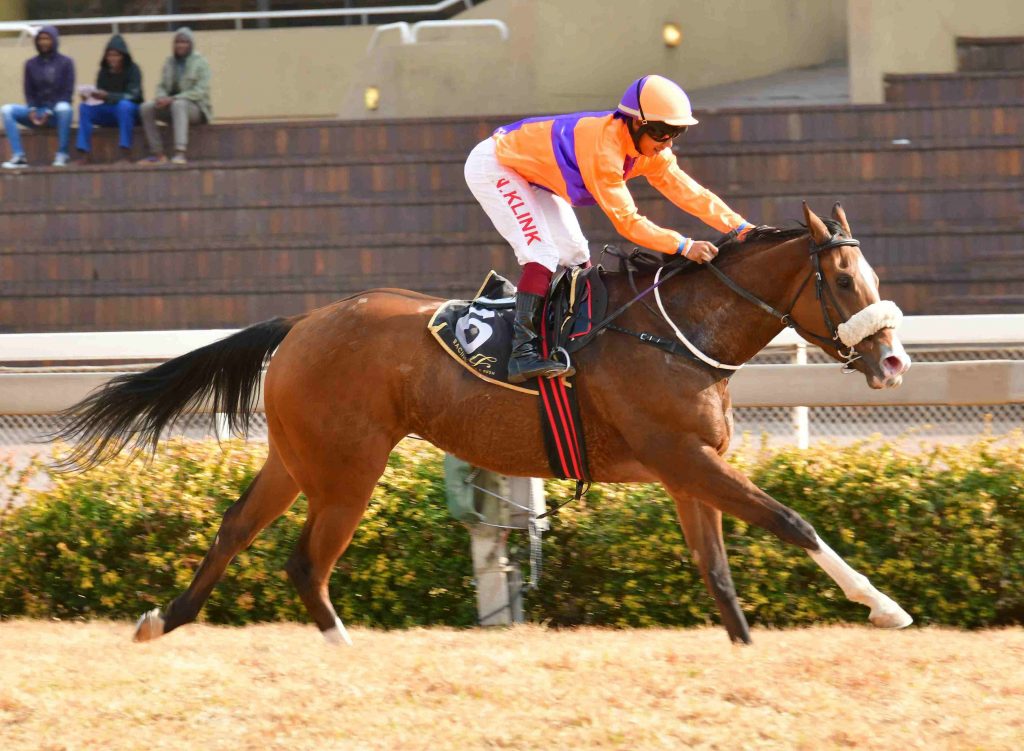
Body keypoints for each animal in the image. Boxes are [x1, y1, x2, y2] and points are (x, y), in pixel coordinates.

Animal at [58, 202, 913, 646]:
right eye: (844, 280)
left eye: (872, 274)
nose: (894, 360)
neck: (675, 332)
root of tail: (301, 322)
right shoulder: (685, 457)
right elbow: (792, 521)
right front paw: (885, 605)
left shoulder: (686, 469)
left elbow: (719, 573)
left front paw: (745, 645)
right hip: (346, 470)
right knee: (305, 560)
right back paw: (342, 649)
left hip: (299, 457)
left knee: (237, 525)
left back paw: (164, 617)